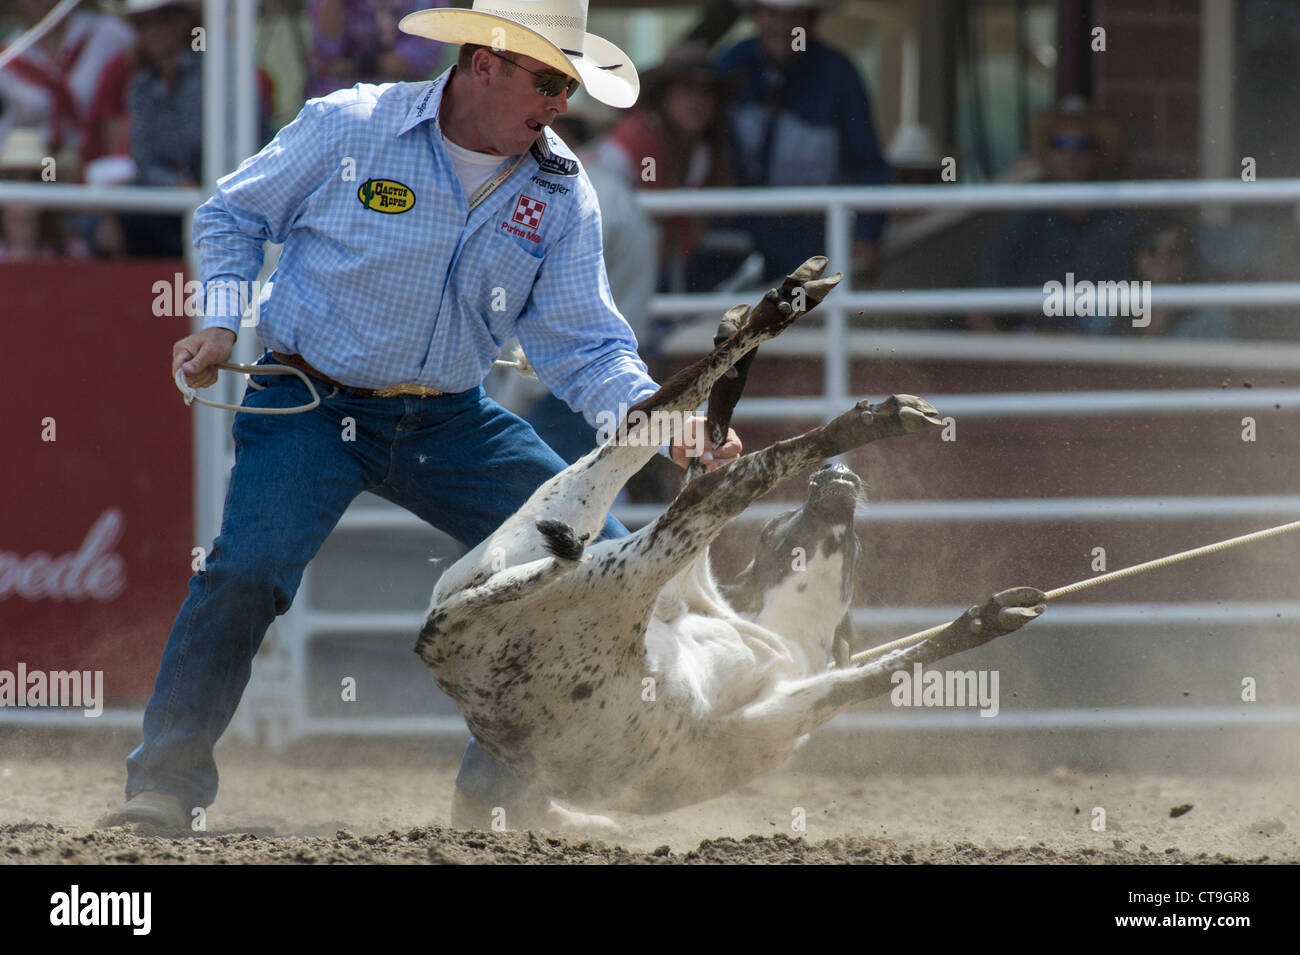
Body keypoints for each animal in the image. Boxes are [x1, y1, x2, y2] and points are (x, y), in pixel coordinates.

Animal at [417, 256, 1045, 815]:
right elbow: (869, 678)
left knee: (652, 426)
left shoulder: (698, 599)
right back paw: (847, 385)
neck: (781, 626)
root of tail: (440, 642)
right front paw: (995, 617)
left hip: (556, 528)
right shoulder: (775, 717)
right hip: (623, 575)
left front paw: (994, 613)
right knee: (722, 481)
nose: (834, 482)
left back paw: (789, 317)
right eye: (775, 530)